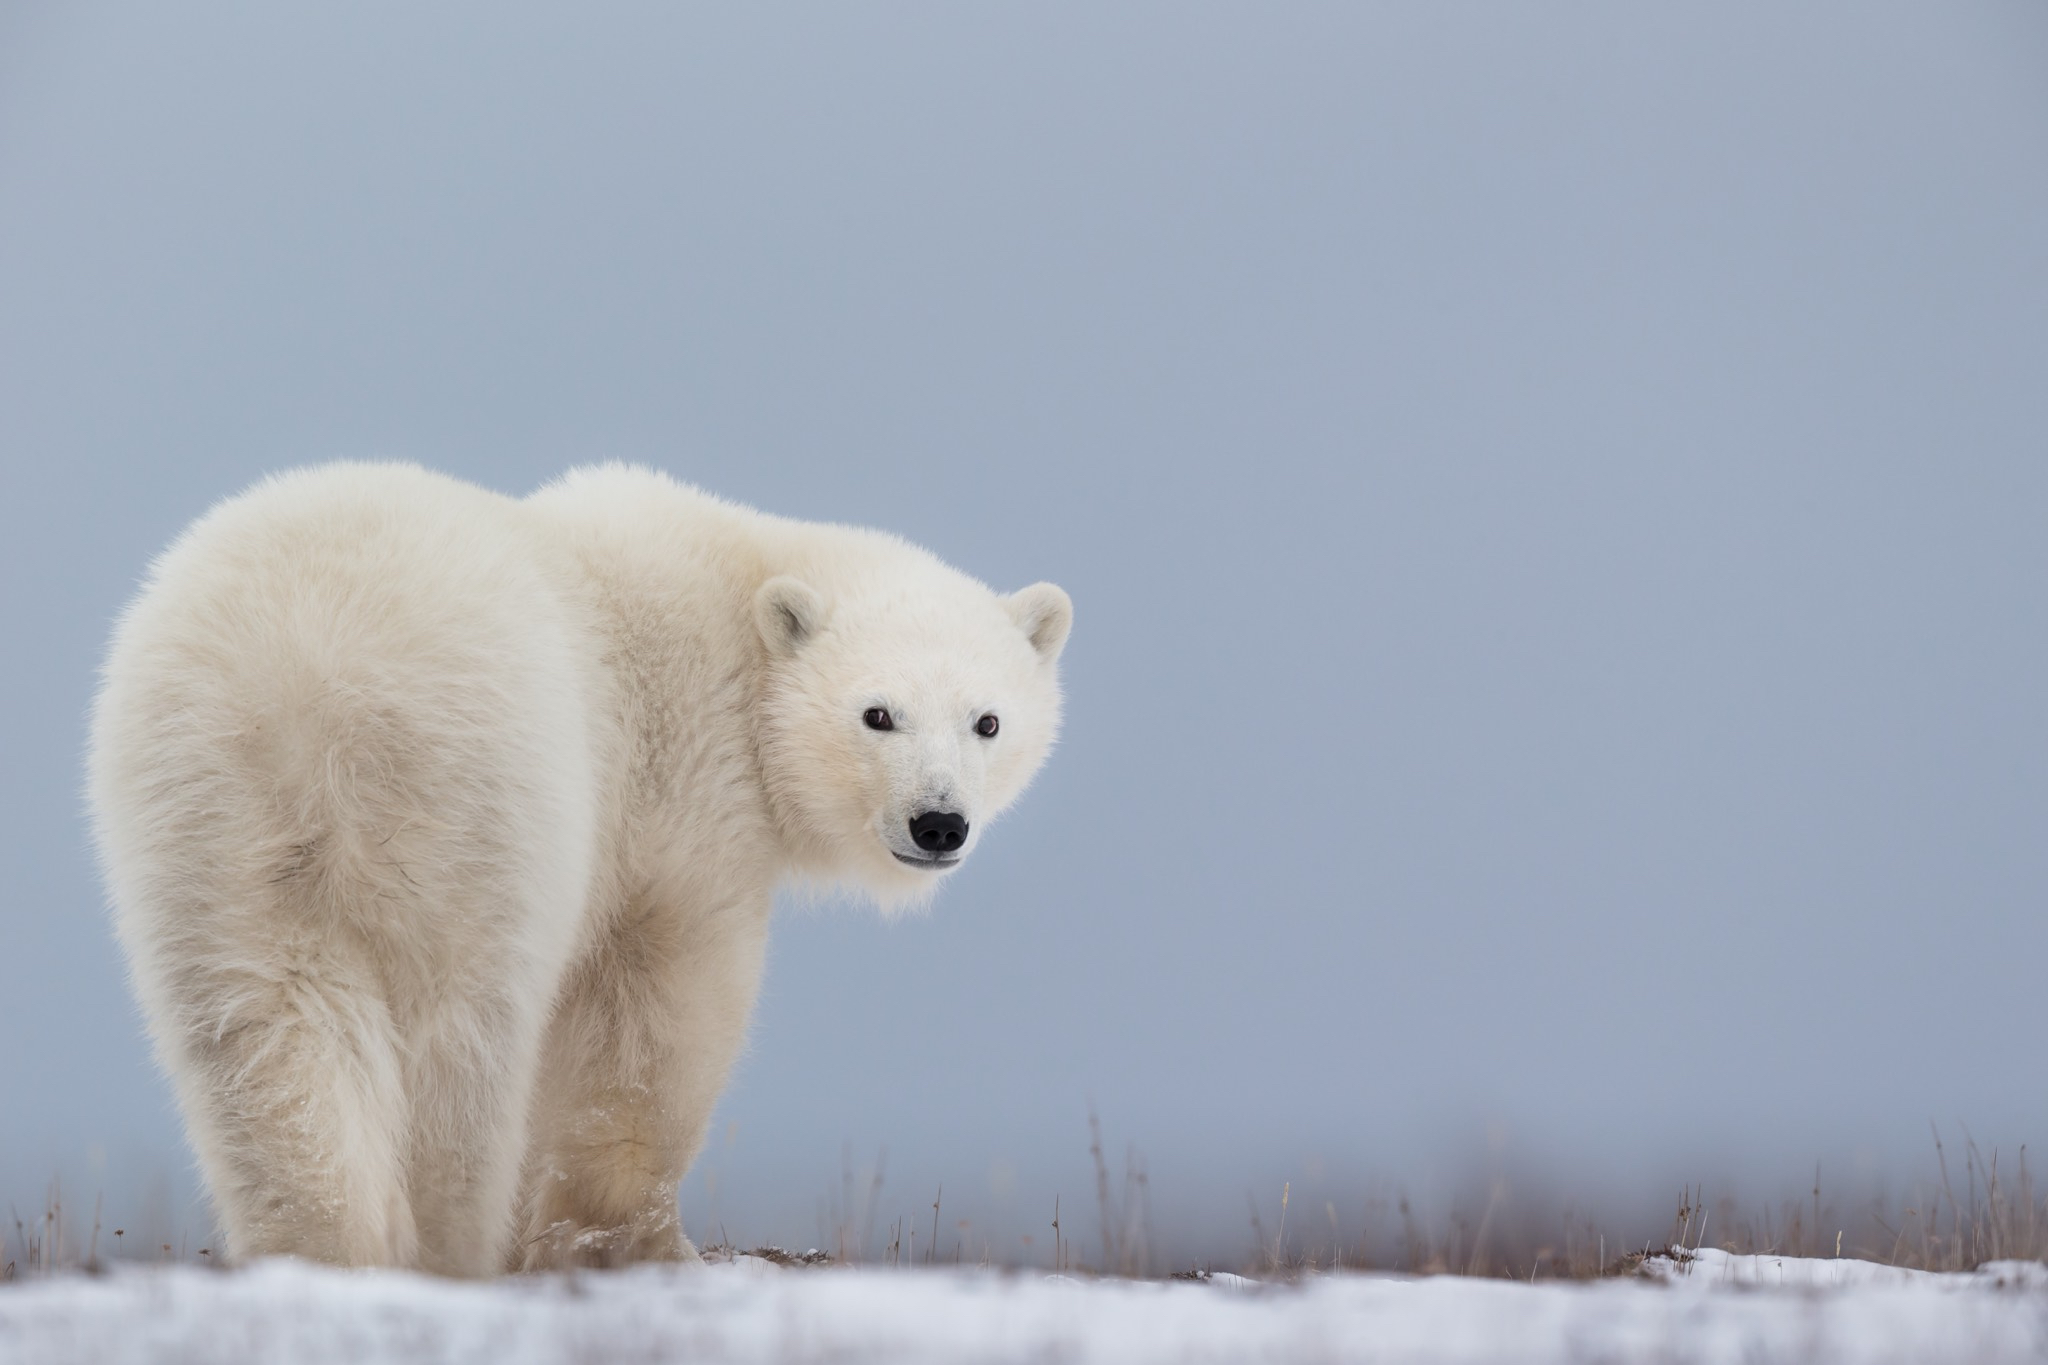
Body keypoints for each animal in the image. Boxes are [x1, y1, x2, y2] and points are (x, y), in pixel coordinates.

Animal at [86, 462, 1071, 1276]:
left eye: (986, 720)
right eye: (877, 713)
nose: (938, 822)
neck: (738, 592)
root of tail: (298, 684)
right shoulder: (674, 794)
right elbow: (653, 1019)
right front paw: (638, 1242)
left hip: (204, 811)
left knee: (254, 1023)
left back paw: (317, 1241)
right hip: (468, 792)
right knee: (458, 1030)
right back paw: (451, 1244)